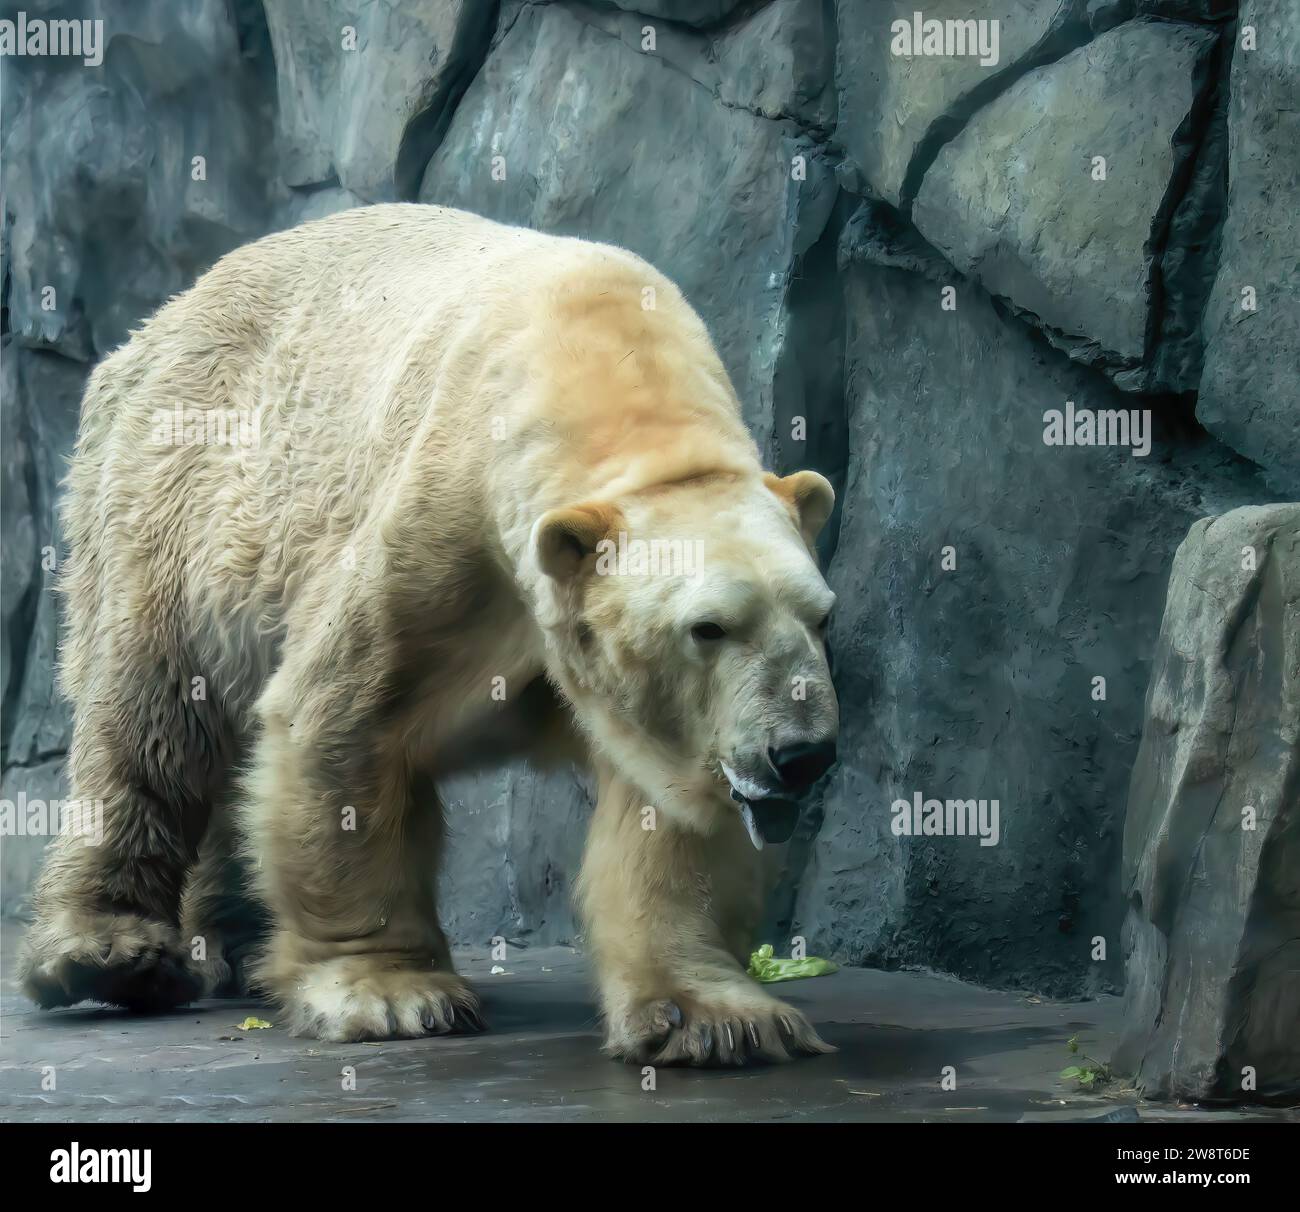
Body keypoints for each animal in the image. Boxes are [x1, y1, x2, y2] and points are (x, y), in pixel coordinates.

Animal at [19, 203, 841, 1066]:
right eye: (707, 627)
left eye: (821, 616)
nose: (801, 753)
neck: (597, 362)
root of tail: (154, 329)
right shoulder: (443, 531)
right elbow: (341, 722)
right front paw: (390, 993)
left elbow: (671, 809)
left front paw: (718, 1019)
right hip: (175, 498)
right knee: (151, 716)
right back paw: (106, 954)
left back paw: (238, 948)